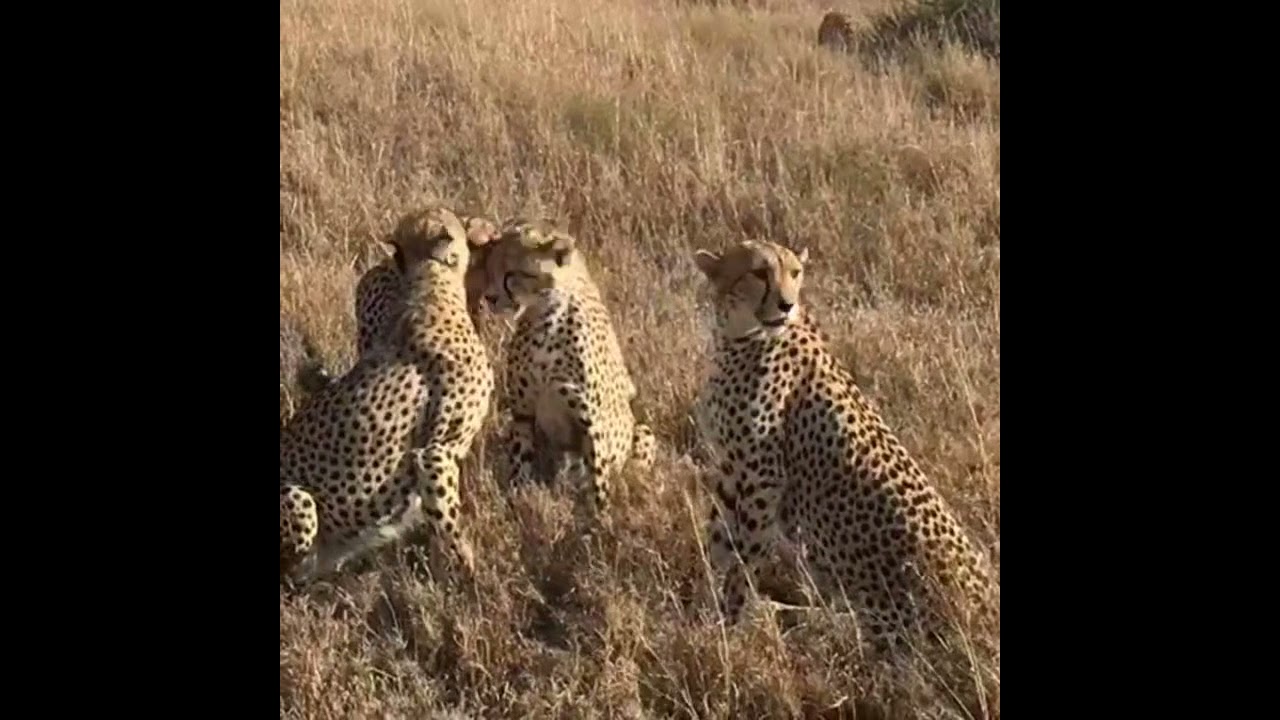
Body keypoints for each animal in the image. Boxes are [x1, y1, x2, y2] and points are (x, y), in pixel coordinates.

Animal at [279, 207, 495, 585]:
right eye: (457, 220)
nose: (480, 228)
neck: (431, 285)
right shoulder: (435, 452)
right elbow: (449, 528)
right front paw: (469, 580)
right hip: (297, 497)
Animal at [476, 218, 656, 517]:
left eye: (511, 273)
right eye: (489, 268)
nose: (489, 298)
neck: (546, 315)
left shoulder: (591, 418)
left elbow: (599, 476)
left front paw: (600, 518)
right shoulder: (523, 411)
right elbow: (520, 459)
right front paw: (518, 498)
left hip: (642, 431)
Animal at [691, 239, 997, 654]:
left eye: (795, 273)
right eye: (758, 272)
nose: (786, 304)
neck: (740, 335)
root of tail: (988, 609)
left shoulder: (761, 480)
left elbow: (743, 558)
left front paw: (729, 623)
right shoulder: (730, 469)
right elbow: (719, 545)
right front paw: (705, 613)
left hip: (891, 620)